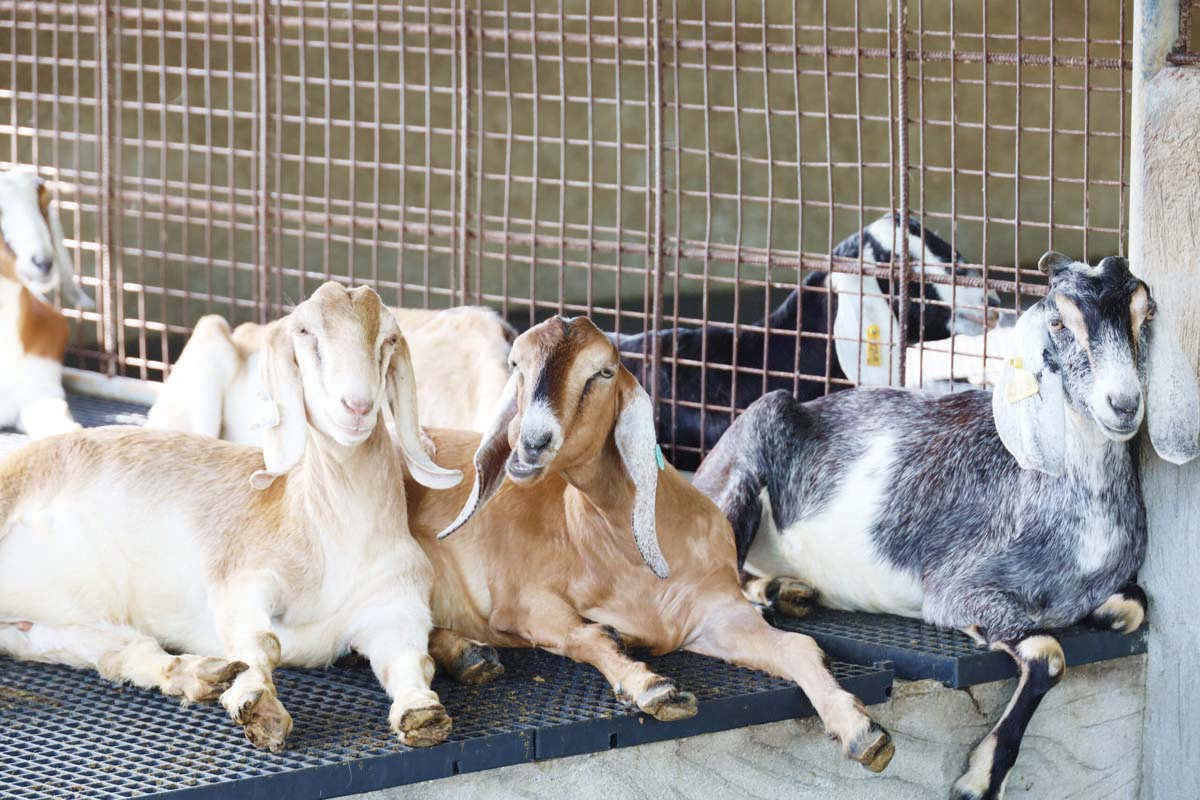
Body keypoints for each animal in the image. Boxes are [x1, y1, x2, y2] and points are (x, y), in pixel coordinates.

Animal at [0, 282, 467, 751]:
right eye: (304, 331)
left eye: (389, 338)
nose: (357, 406)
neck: (331, 535)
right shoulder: (241, 577)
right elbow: (261, 640)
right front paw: (257, 704)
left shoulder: (396, 608)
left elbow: (411, 662)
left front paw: (421, 711)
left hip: (60, 628)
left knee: (118, 651)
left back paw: (200, 675)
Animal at [406, 315, 896, 773]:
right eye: (516, 364)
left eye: (602, 371)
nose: (531, 443)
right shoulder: (521, 602)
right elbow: (588, 634)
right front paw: (653, 688)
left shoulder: (714, 614)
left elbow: (799, 648)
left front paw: (861, 731)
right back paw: (469, 655)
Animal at [692, 253, 1200, 800]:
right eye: (1059, 321)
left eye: (1144, 315)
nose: (1123, 404)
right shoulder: (959, 589)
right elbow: (1048, 653)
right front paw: (980, 778)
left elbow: (1133, 607)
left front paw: (1102, 613)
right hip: (741, 470)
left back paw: (787, 591)